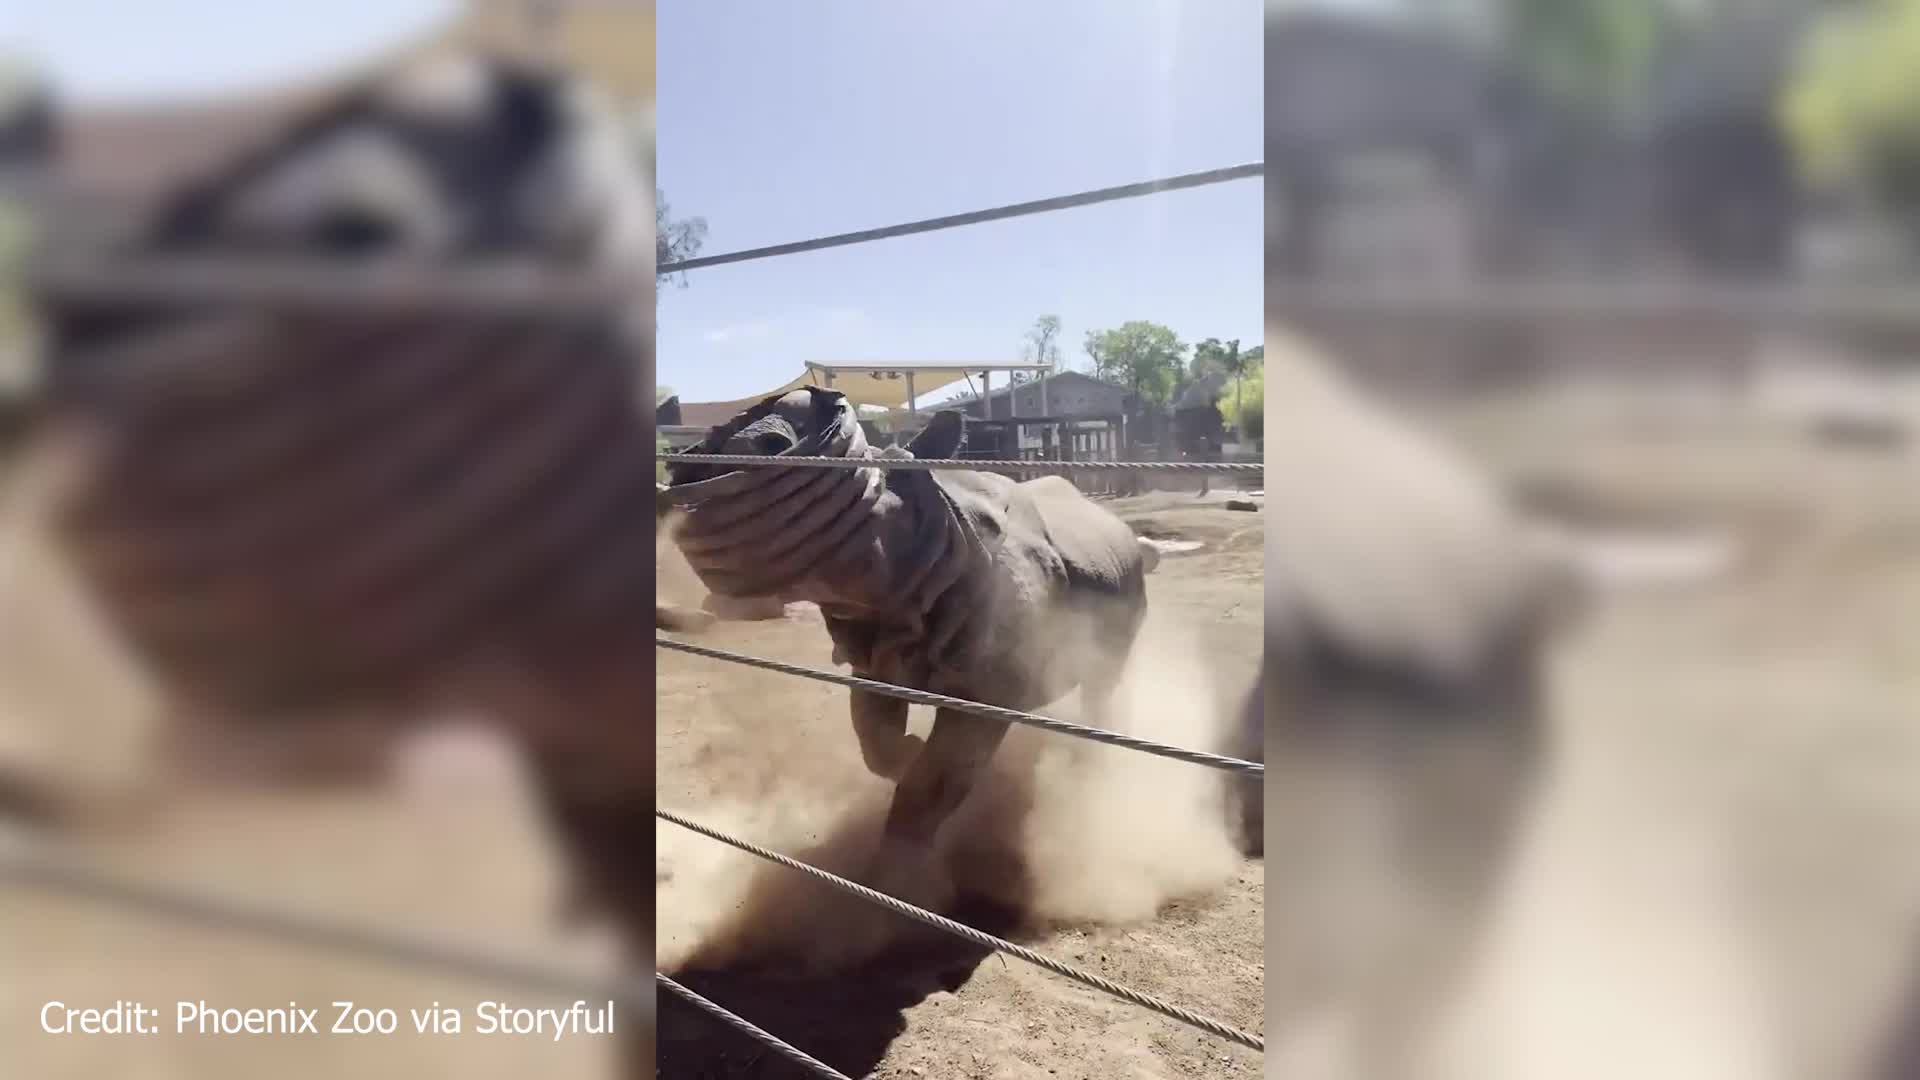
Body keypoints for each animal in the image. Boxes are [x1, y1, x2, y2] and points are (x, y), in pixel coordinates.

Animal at [664, 388, 1153, 849]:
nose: (740, 449)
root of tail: (1114, 523)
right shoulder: (873, 654)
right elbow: (876, 741)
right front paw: (909, 756)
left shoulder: (988, 690)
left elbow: (933, 785)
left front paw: (900, 866)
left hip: (1123, 584)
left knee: (1103, 680)